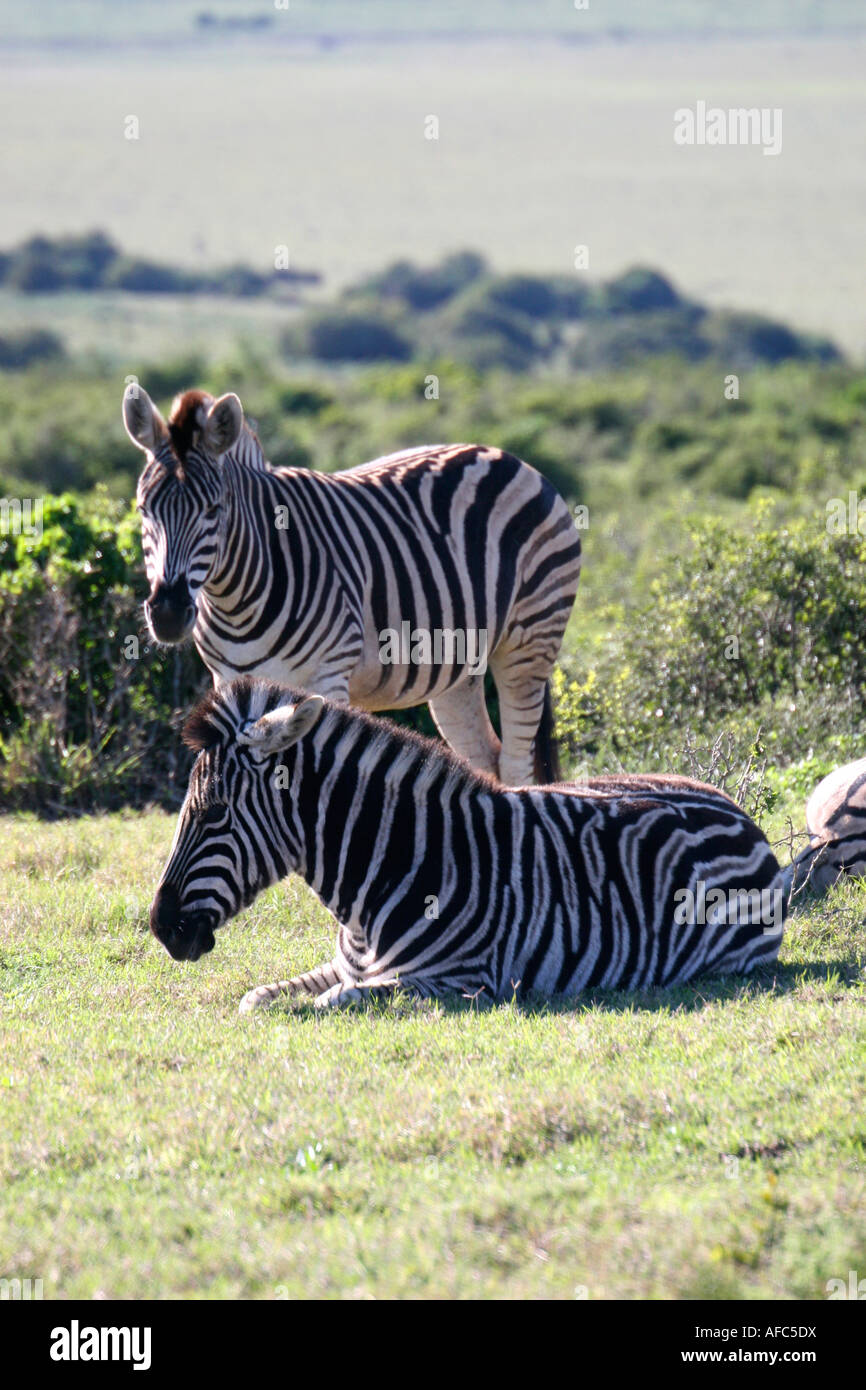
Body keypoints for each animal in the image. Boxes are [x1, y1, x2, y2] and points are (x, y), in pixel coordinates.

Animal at [122, 384, 582, 785]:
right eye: (143, 509)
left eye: (214, 510)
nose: (167, 614)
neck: (236, 600)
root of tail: (507, 456)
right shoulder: (229, 679)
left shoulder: (329, 676)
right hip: (460, 668)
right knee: (488, 759)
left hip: (529, 645)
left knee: (518, 766)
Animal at [149, 678, 787, 1013]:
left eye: (215, 814)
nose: (161, 927)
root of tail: (735, 809)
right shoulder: (343, 966)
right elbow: (257, 997)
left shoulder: (458, 981)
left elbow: (334, 1001)